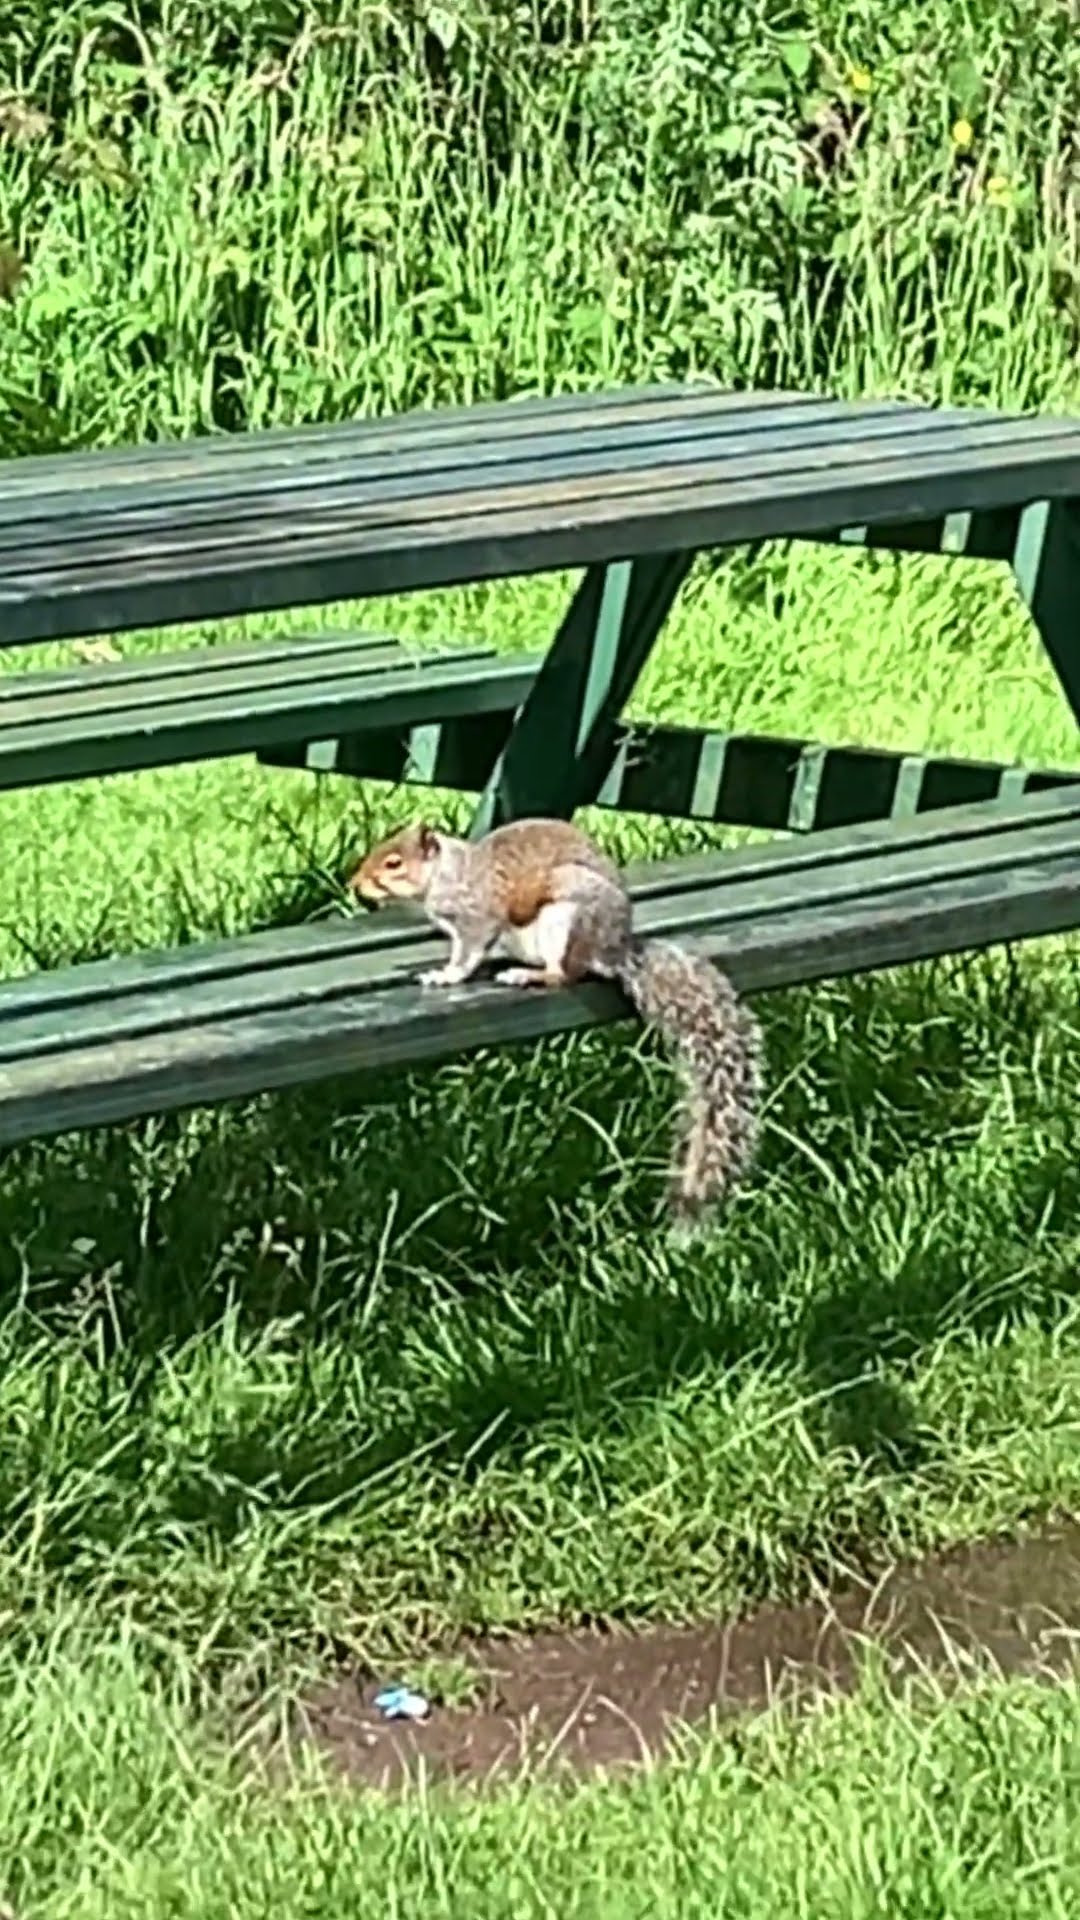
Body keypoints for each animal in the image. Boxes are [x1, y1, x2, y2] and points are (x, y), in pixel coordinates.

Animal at [350, 817, 763, 1235]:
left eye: (394, 863)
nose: (356, 885)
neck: (449, 872)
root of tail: (615, 950)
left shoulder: (477, 915)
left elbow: (468, 951)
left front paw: (445, 975)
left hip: (563, 921)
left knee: (564, 974)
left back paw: (526, 975)